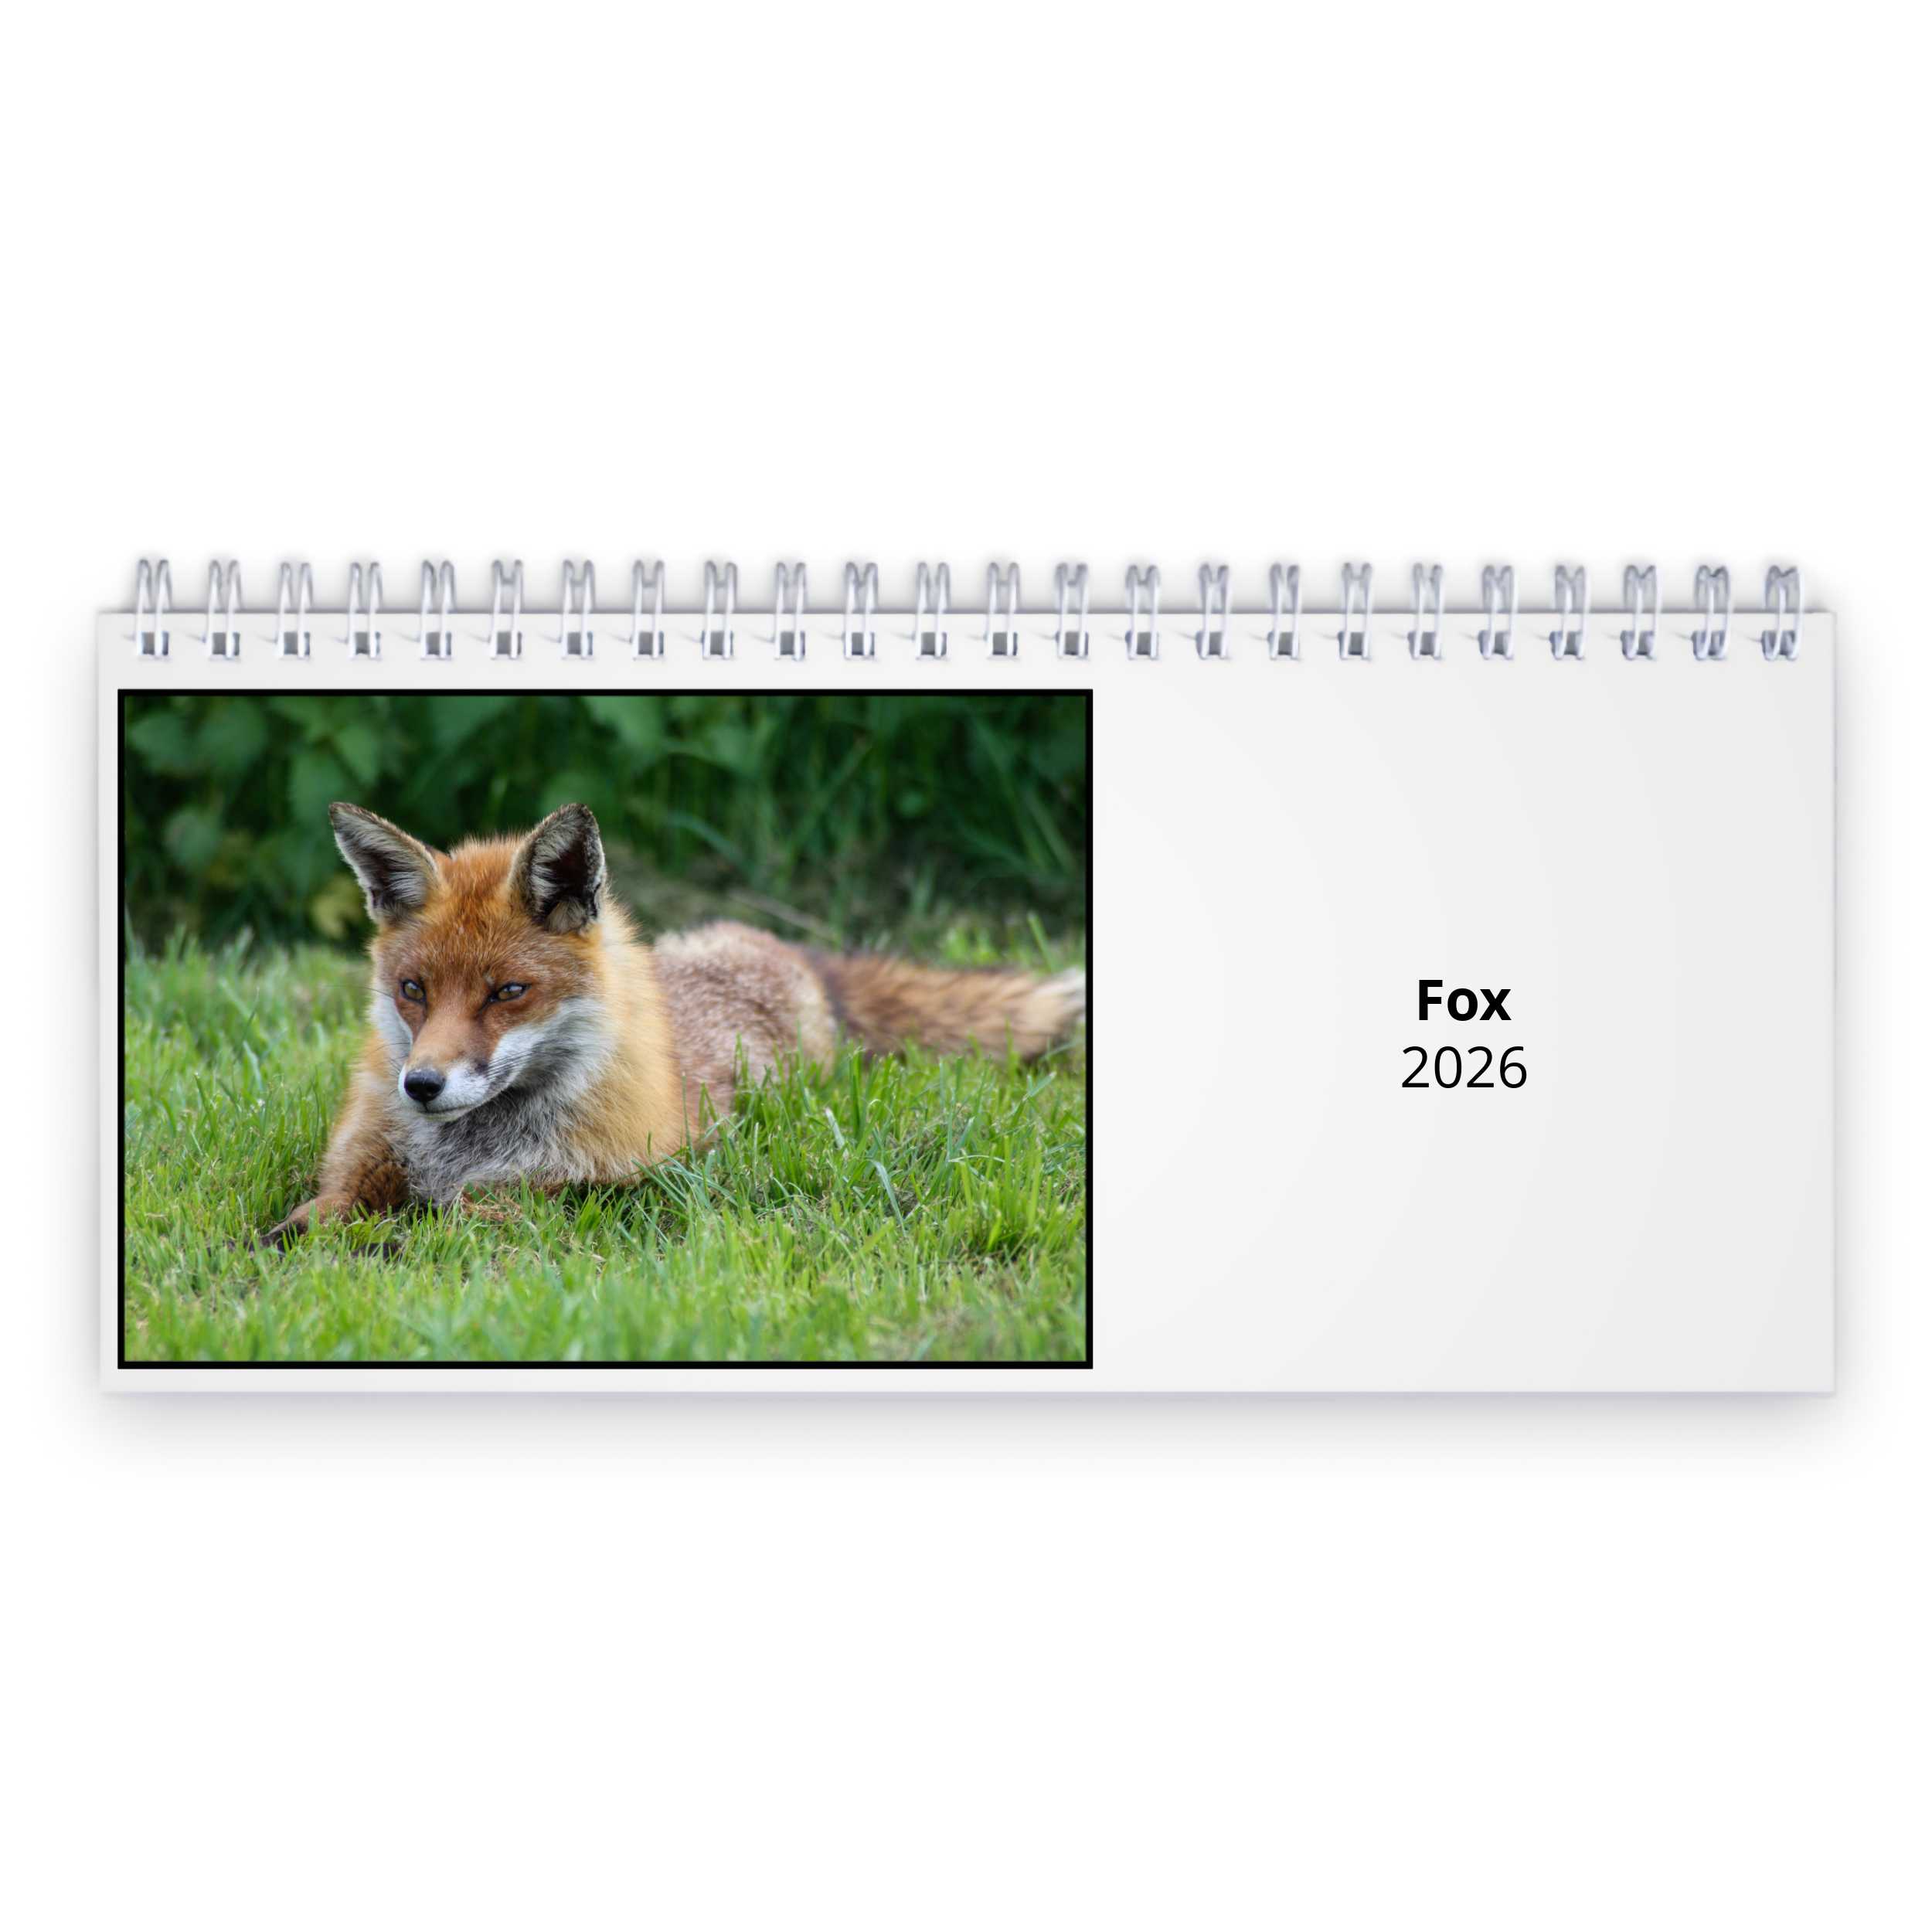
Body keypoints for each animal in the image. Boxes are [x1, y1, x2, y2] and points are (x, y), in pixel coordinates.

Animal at [263, 802, 1085, 1242]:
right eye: (413, 990)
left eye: (507, 992)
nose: (422, 1085)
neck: (457, 1153)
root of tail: (791, 952)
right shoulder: (356, 1174)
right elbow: (298, 1224)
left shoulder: (555, 1192)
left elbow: (433, 1226)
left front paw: (389, 1244)